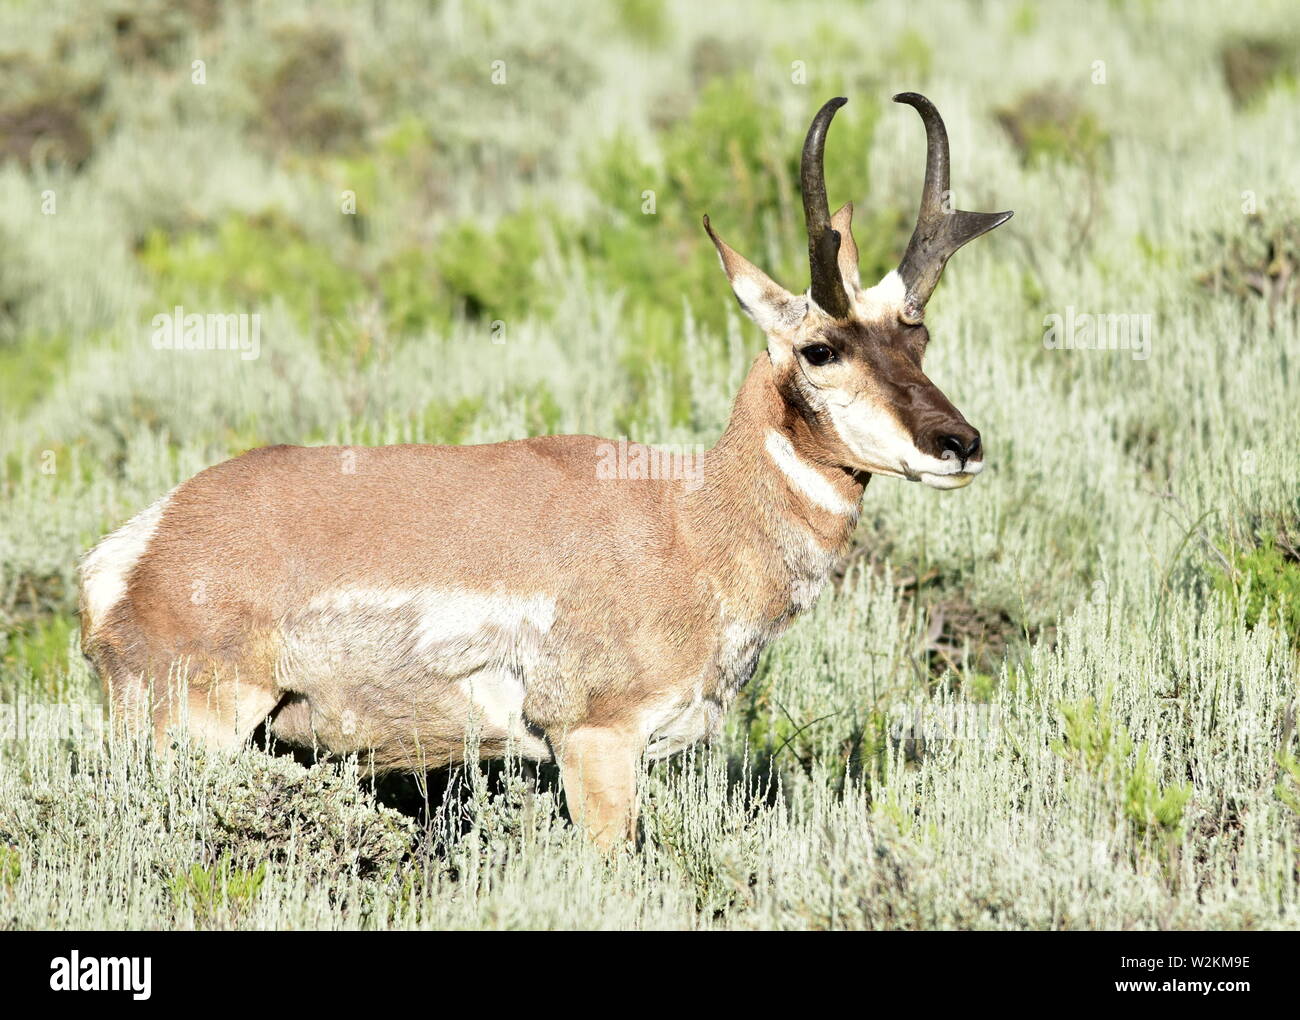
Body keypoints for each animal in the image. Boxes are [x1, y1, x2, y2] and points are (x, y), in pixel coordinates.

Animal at [80, 94, 1011, 848]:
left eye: (919, 337)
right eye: (821, 349)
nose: (958, 443)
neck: (691, 519)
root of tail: (138, 542)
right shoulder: (596, 740)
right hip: (194, 728)